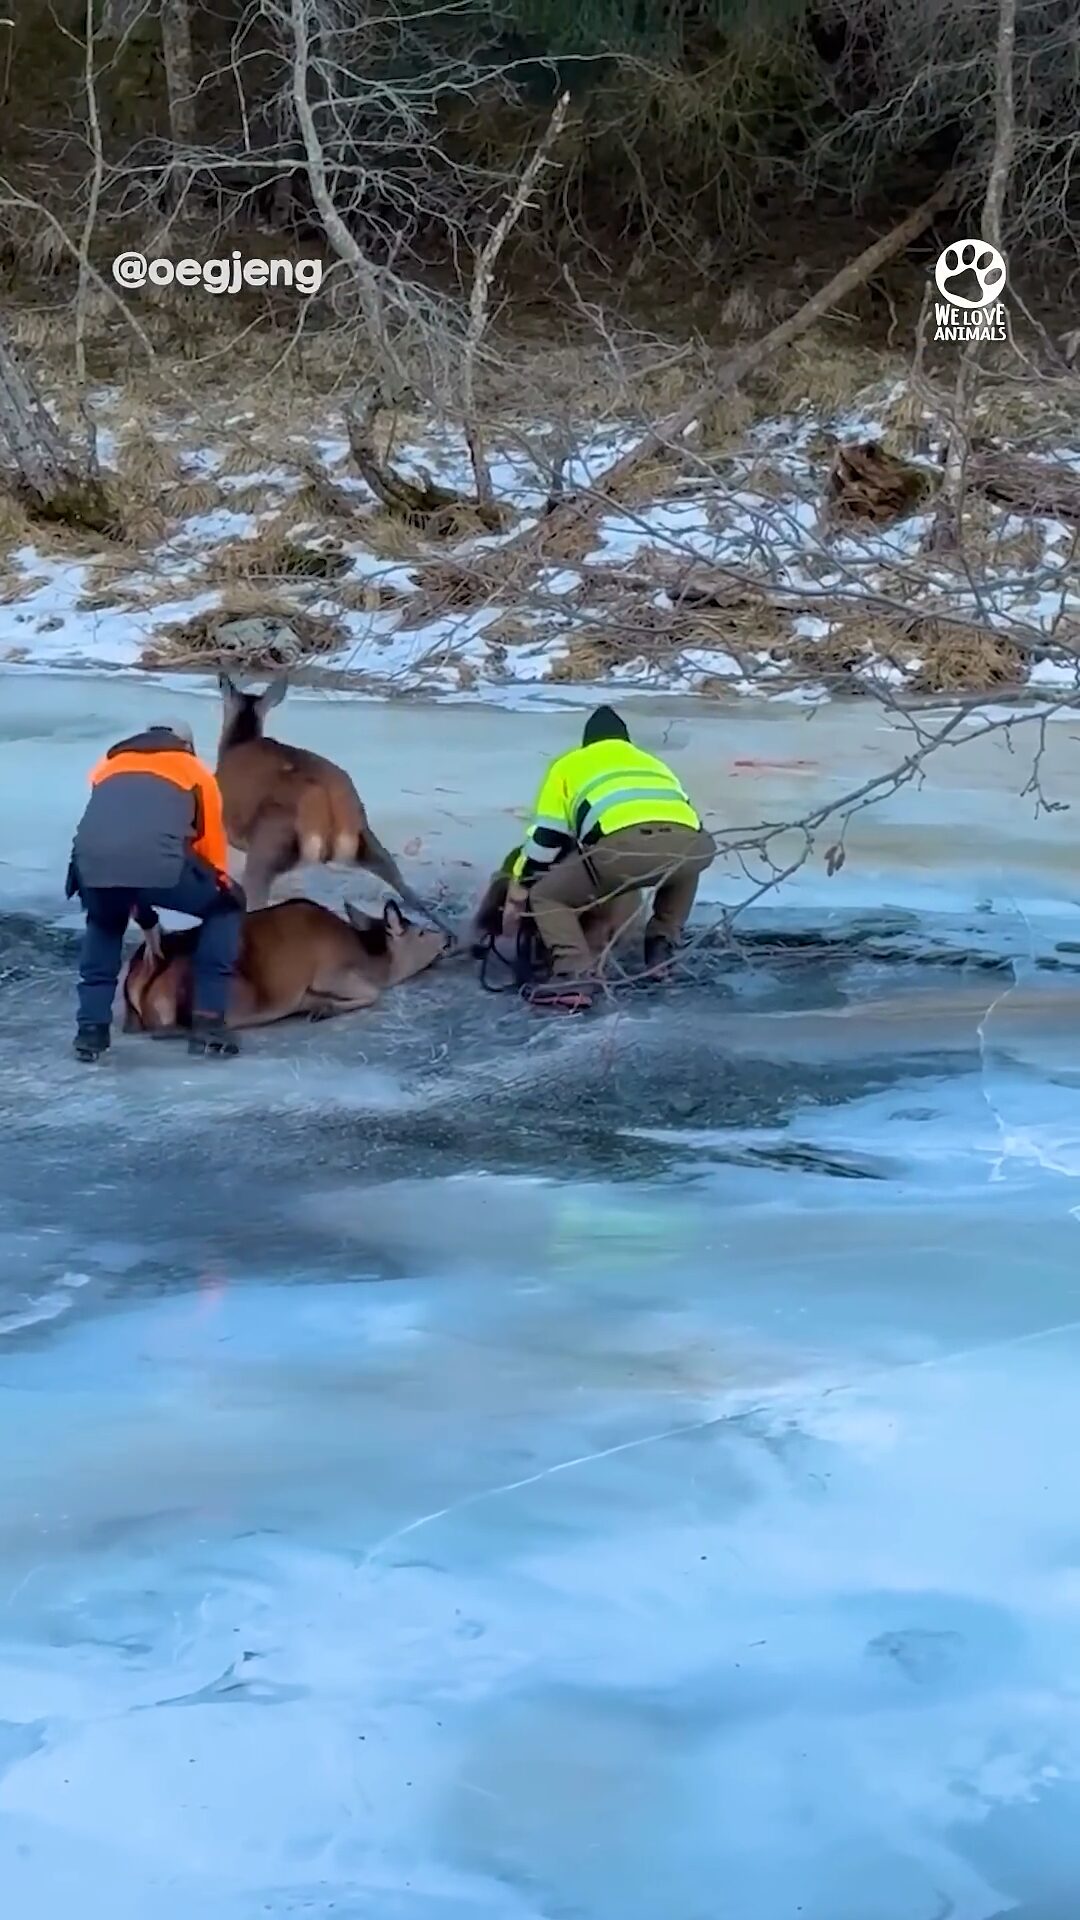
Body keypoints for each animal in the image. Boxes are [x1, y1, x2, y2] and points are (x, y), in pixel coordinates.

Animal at [123, 897, 450, 1035]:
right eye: (422, 932)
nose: (448, 937)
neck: (373, 960)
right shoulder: (331, 972)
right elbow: (373, 994)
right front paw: (325, 1009)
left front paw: (321, 1007)